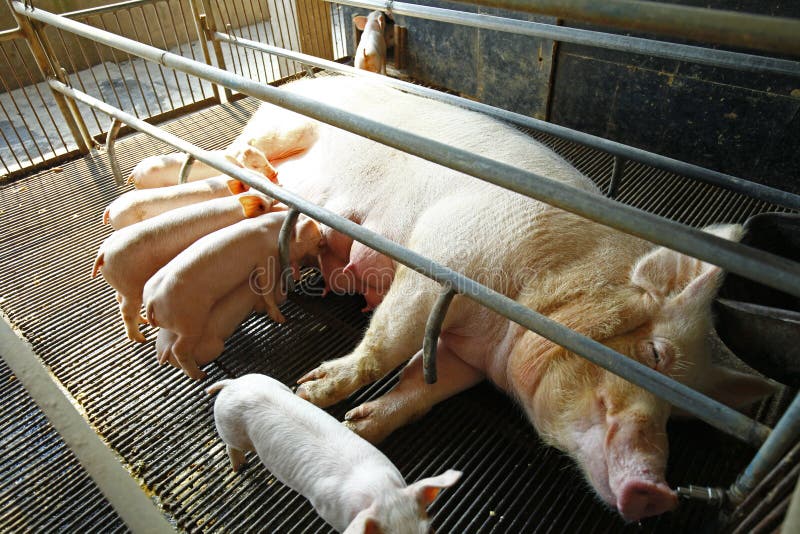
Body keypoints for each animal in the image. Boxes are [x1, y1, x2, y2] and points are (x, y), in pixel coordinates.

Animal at [91, 193, 273, 343]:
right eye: (269, 205)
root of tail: (103, 253)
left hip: (124, 286)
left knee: (119, 298)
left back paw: (143, 320)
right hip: (130, 286)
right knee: (126, 310)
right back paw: (141, 338)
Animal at [144, 212, 323, 379]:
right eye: (317, 238)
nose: (323, 242)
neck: (276, 233)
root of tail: (151, 301)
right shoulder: (264, 259)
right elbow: (266, 288)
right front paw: (281, 319)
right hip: (189, 323)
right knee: (179, 350)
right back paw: (200, 375)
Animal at [207, 373, 462, 533]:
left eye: (431, 529)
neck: (380, 491)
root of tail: (232, 384)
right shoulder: (328, 511)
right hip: (230, 426)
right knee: (230, 445)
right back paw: (238, 466)